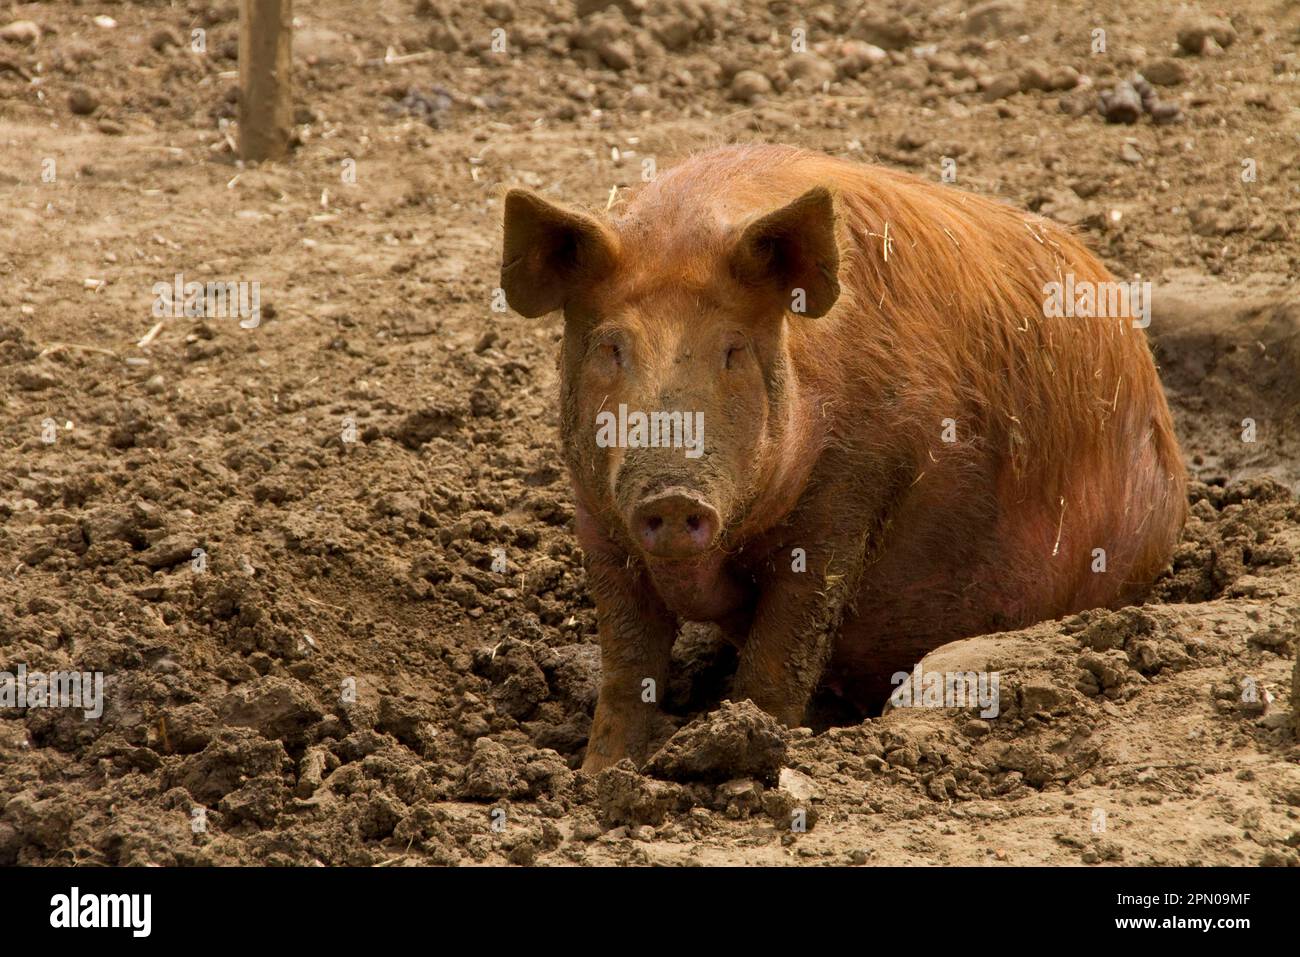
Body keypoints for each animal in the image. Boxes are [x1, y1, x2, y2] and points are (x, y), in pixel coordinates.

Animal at [499, 144, 1187, 772]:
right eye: (610, 347)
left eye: (733, 350)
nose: (672, 495)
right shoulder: (597, 518)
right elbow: (626, 662)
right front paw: (597, 776)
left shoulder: (852, 489)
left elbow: (785, 649)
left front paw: (752, 749)